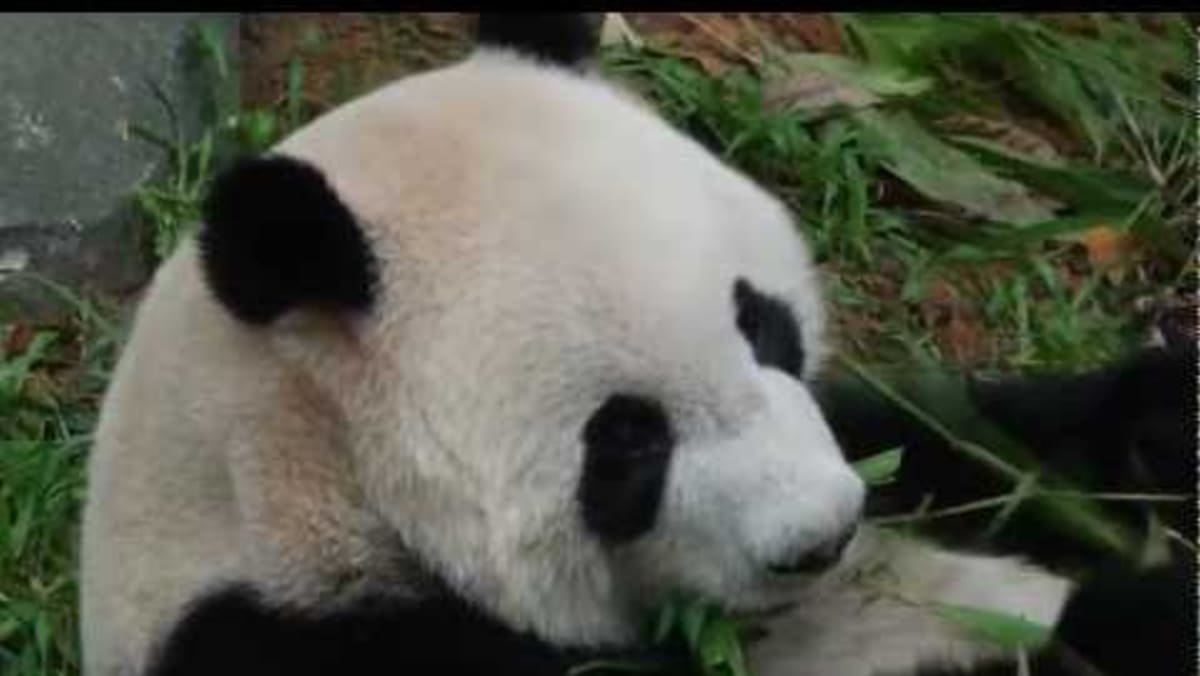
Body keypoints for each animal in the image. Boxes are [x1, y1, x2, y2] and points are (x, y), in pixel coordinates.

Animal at [78, 14, 1193, 676]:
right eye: (626, 442)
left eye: (765, 325)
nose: (822, 537)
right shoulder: (312, 639)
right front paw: (1134, 618)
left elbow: (946, 439)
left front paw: (1157, 431)